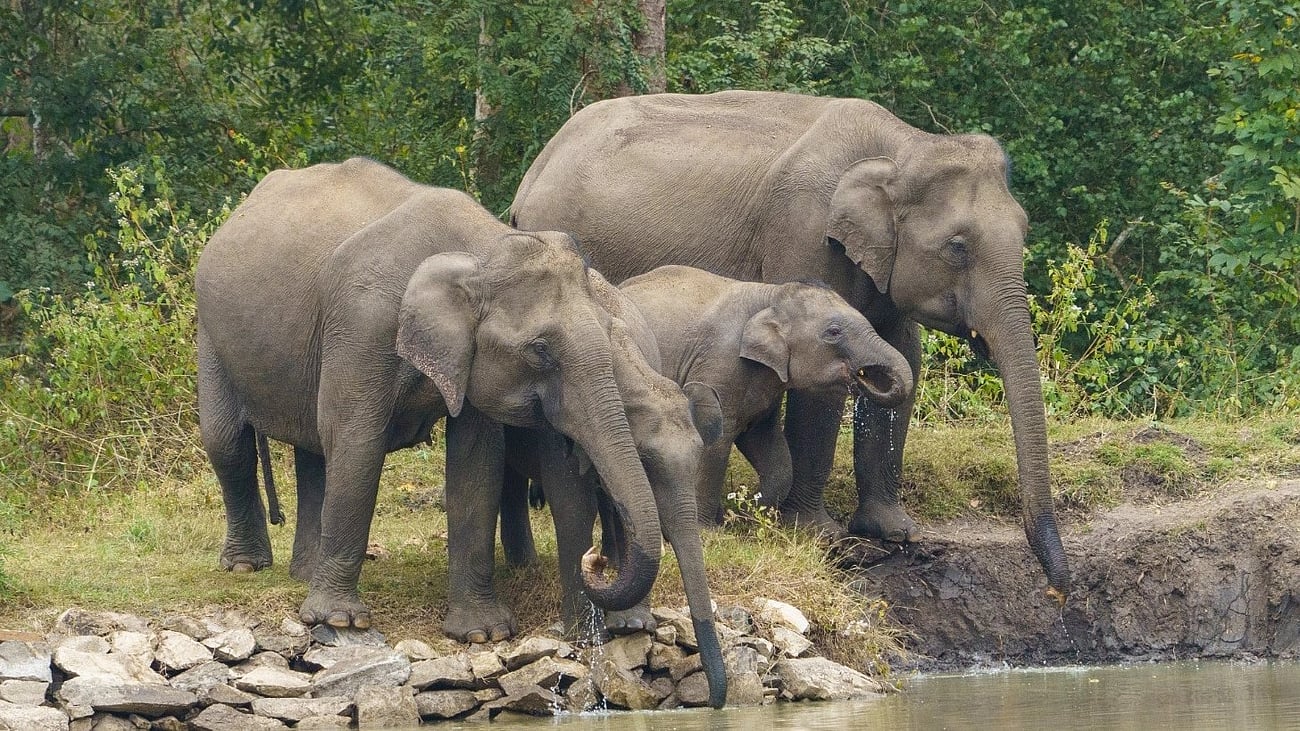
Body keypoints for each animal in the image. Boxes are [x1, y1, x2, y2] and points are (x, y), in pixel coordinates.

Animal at [196, 157, 666, 641]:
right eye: (540, 350)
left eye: (610, 328)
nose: (597, 561)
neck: (481, 249)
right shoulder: (362, 324)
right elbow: (357, 441)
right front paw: (339, 620)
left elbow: (476, 461)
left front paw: (482, 633)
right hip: (210, 335)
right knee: (228, 441)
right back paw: (245, 567)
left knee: (313, 454)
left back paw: (303, 574)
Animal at [616, 265, 913, 526]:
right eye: (833, 332)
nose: (863, 377)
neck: (771, 295)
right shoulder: (719, 363)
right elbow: (716, 440)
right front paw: (709, 528)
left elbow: (766, 441)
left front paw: (746, 514)